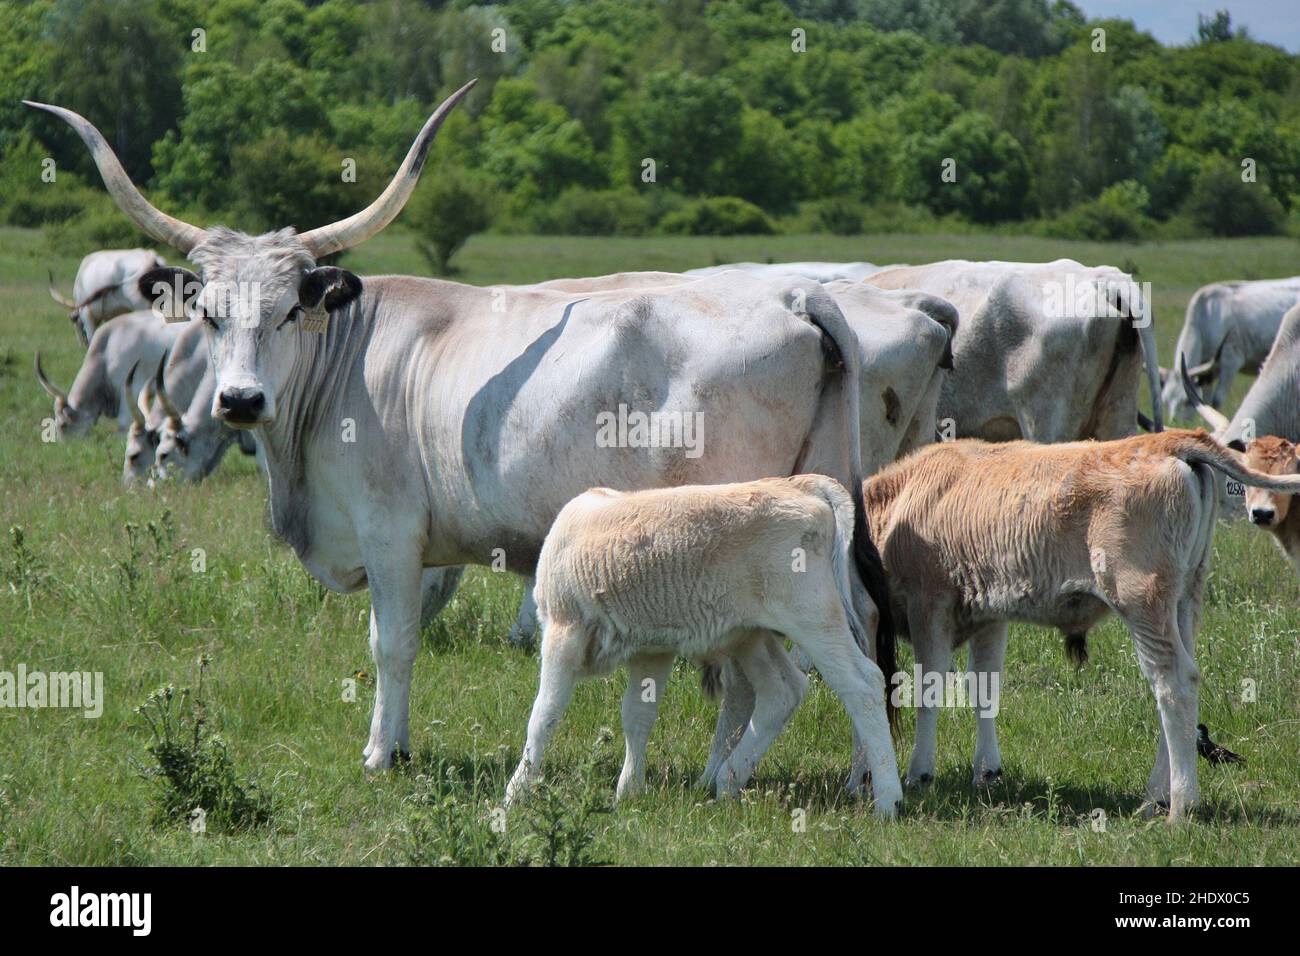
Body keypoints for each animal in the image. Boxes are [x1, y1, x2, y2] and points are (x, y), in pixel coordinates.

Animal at [504, 475, 903, 816]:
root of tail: (800, 484)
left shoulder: (564, 631)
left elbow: (545, 715)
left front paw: (517, 790)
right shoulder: (653, 649)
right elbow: (637, 716)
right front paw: (629, 790)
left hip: (811, 615)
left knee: (862, 684)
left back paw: (888, 800)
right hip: (750, 634)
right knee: (782, 691)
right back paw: (728, 779)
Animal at [853, 429, 1300, 820]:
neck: (906, 496)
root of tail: (1168, 440)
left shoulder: (929, 605)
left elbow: (928, 690)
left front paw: (919, 773)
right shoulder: (989, 616)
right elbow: (984, 688)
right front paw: (987, 772)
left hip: (1143, 603)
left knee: (1174, 682)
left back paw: (1179, 806)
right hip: (1184, 600)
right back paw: (1154, 799)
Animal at [1161, 277, 1300, 421]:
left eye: (1186, 401)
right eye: (1165, 401)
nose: (1175, 422)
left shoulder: (1231, 361)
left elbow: (1216, 400)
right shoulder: (1209, 371)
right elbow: (1205, 399)